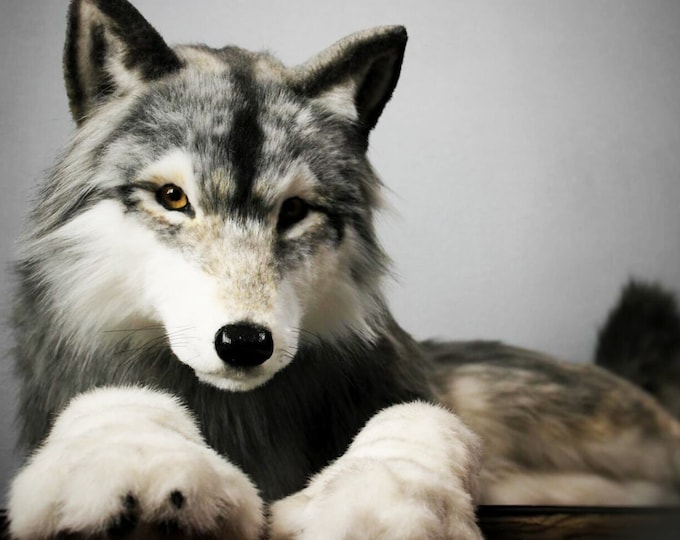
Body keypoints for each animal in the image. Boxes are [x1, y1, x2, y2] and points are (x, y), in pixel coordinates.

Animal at [8, 1, 680, 539]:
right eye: (174, 198)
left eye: (295, 211)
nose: (245, 343)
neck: (245, 421)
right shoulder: (96, 385)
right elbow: (119, 402)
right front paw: (142, 475)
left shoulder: (411, 397)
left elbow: (414, 419)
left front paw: (373, 507)